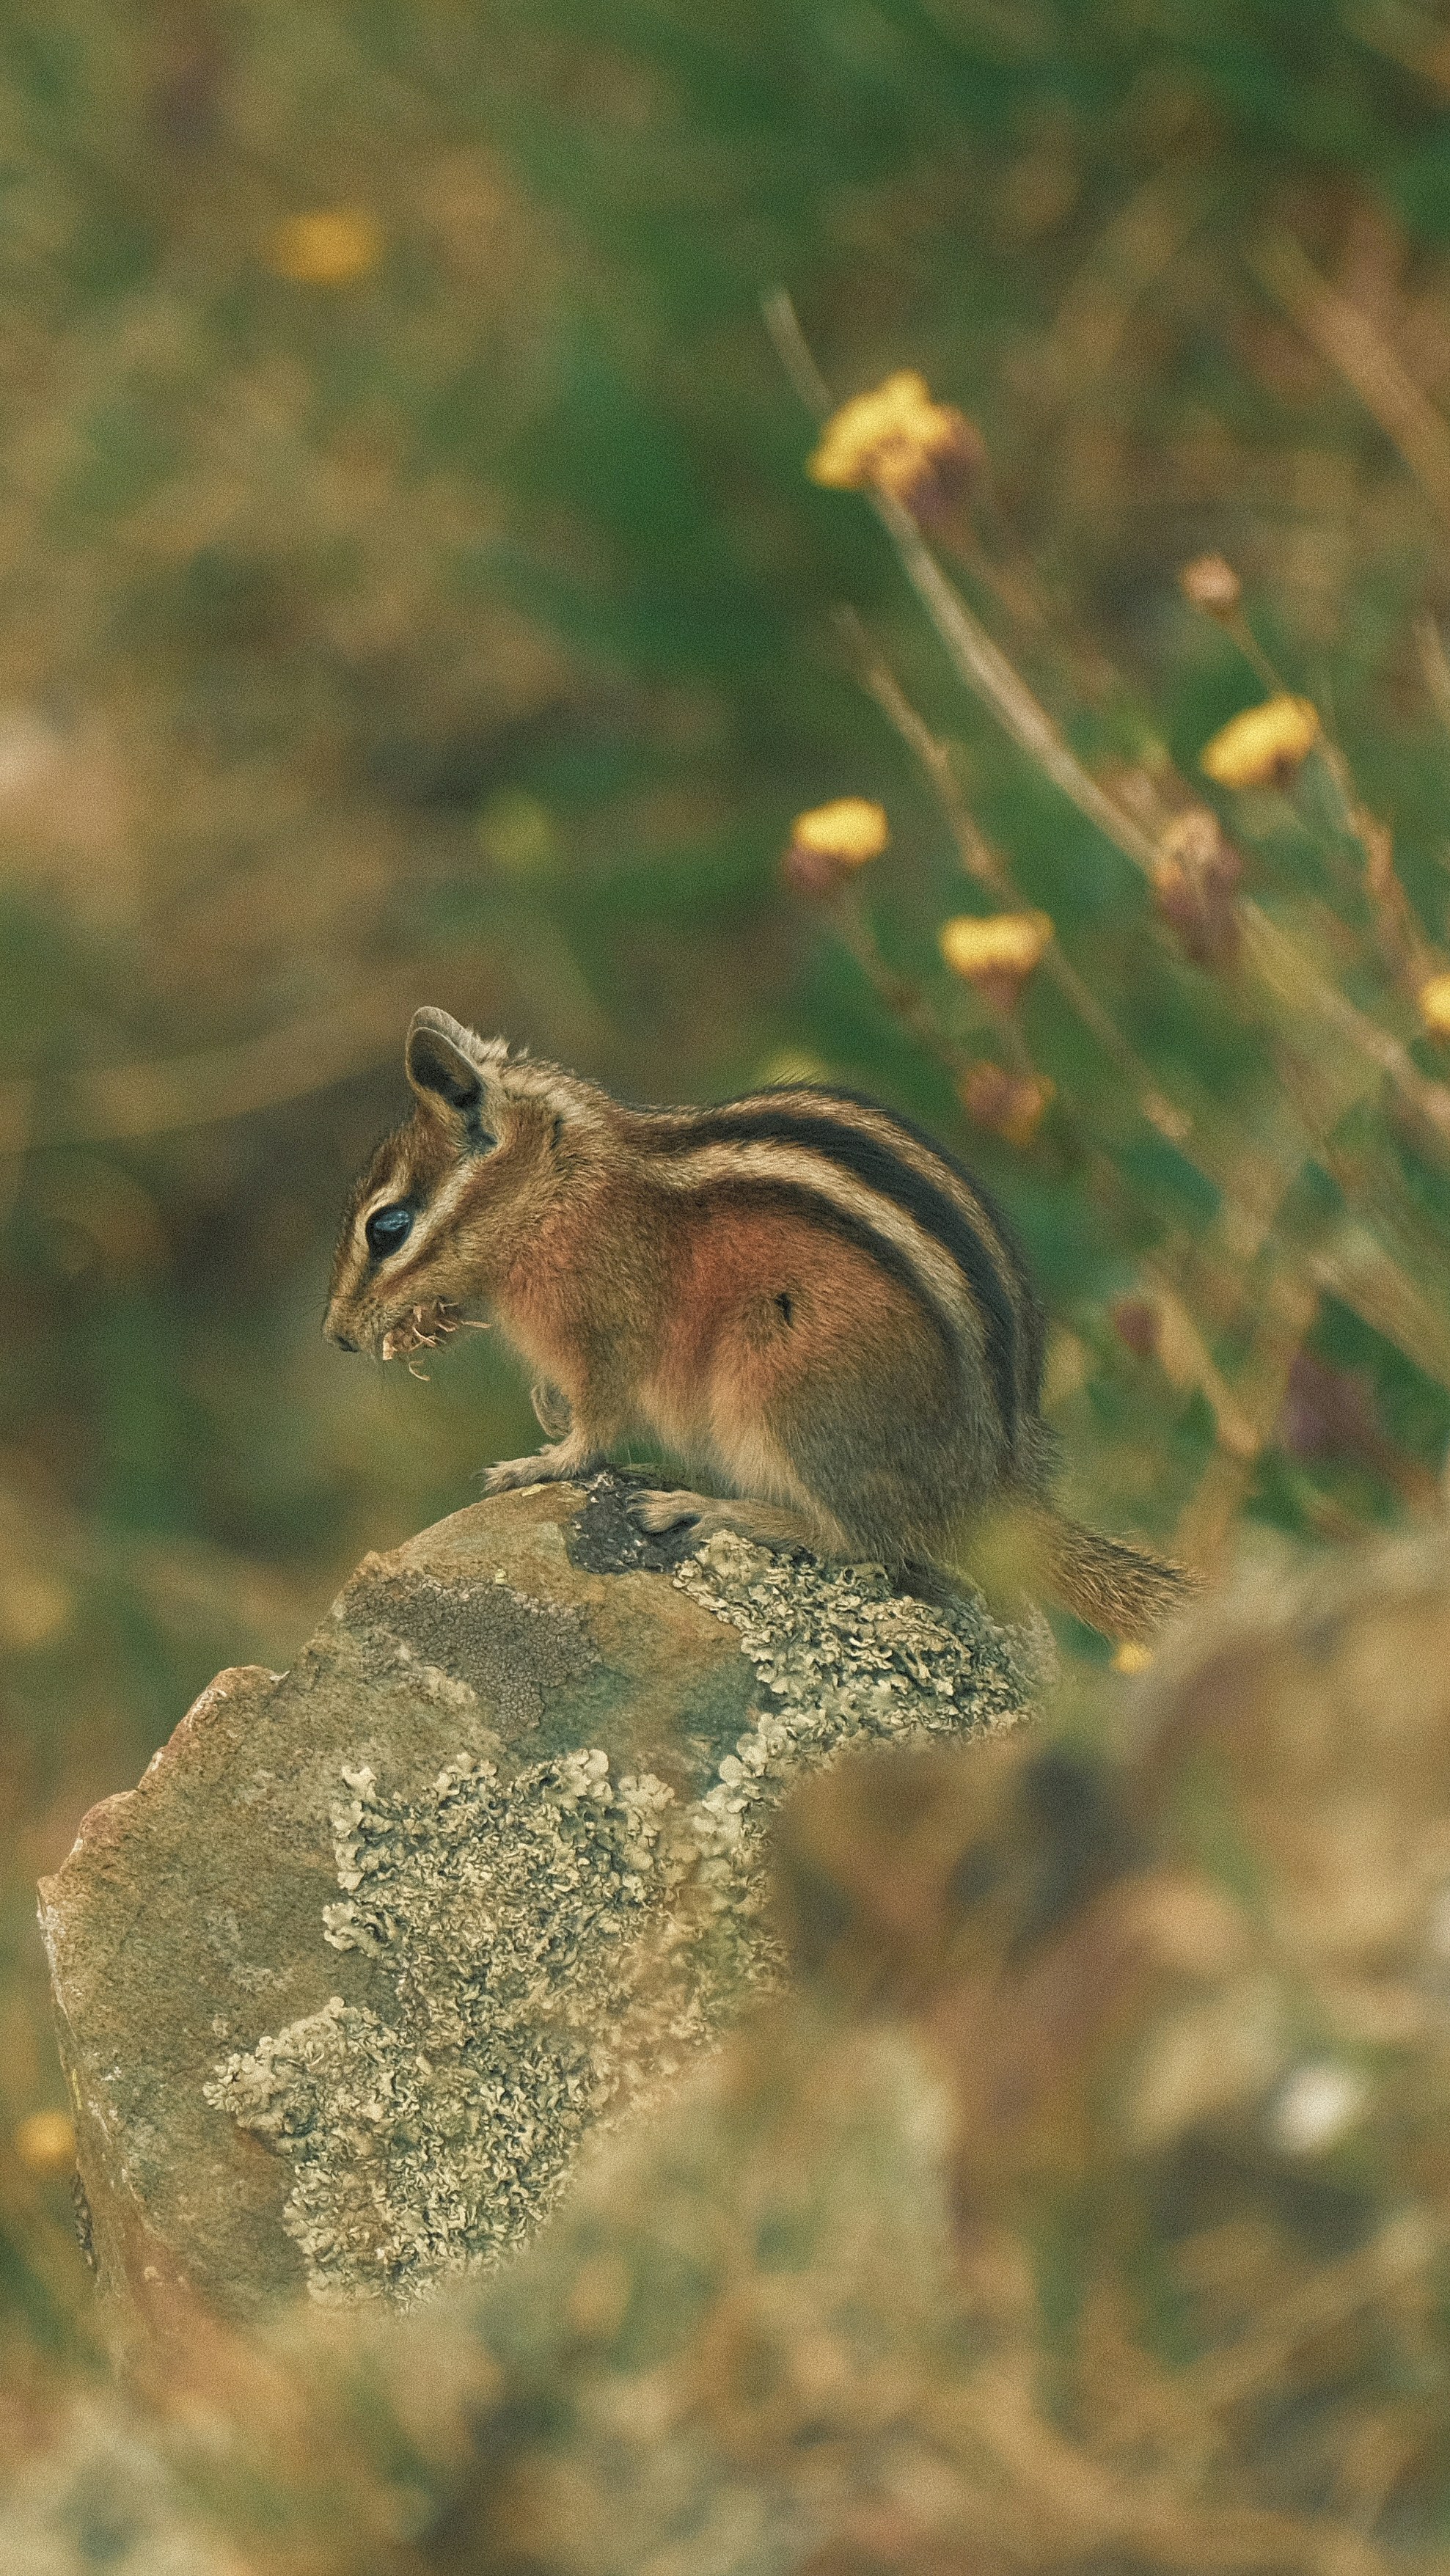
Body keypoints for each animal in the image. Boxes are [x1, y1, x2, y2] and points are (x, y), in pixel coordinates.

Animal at [324, 1006, 1193, 1644]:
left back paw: (711, 1508)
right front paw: (544, 1406)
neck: (561, 1189)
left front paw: (538, 1461)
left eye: (387, 1227)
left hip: (789, 1395)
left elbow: (597, 1429)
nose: (336, 1335)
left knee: (865, 1540)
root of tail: (993, 1493)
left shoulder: (604, 1335)